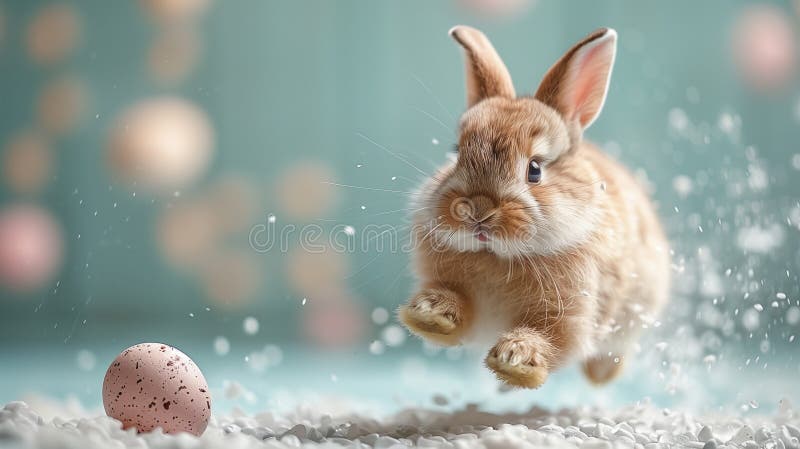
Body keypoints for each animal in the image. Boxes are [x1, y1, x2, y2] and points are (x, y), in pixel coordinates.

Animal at [398, 26, 670, 389]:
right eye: (457, 154)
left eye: (535, 170)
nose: (478, 210)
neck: (497, 257)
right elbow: (458, 308)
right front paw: (428, 314)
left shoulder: (568, 314)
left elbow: (550, 339)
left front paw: (514, 359)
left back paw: (600, 376)